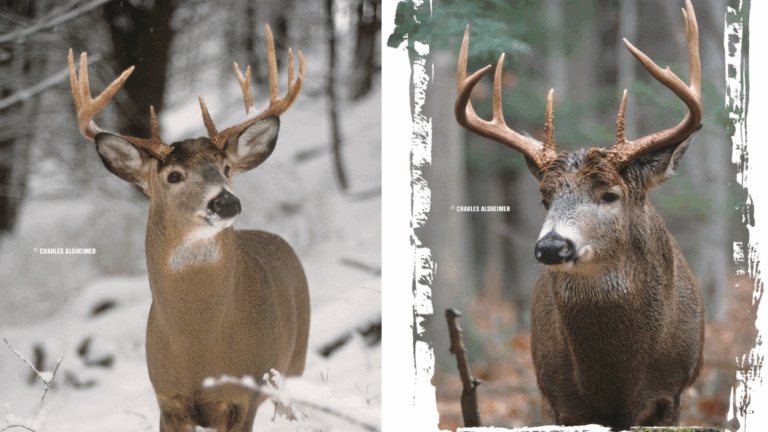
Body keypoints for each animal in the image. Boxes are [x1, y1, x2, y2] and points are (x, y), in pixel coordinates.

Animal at [68, 25, 310, 431]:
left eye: (226, 169)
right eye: (174, 176)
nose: (226, 202)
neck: (198, 347)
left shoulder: (244, 397)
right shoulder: (167, 399)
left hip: (294, 362)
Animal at [455, 1, 705, 430]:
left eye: (610, 195)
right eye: (545, 198)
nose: (552, 246)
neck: (615, 383)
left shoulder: (674, 390)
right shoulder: (558, 394)